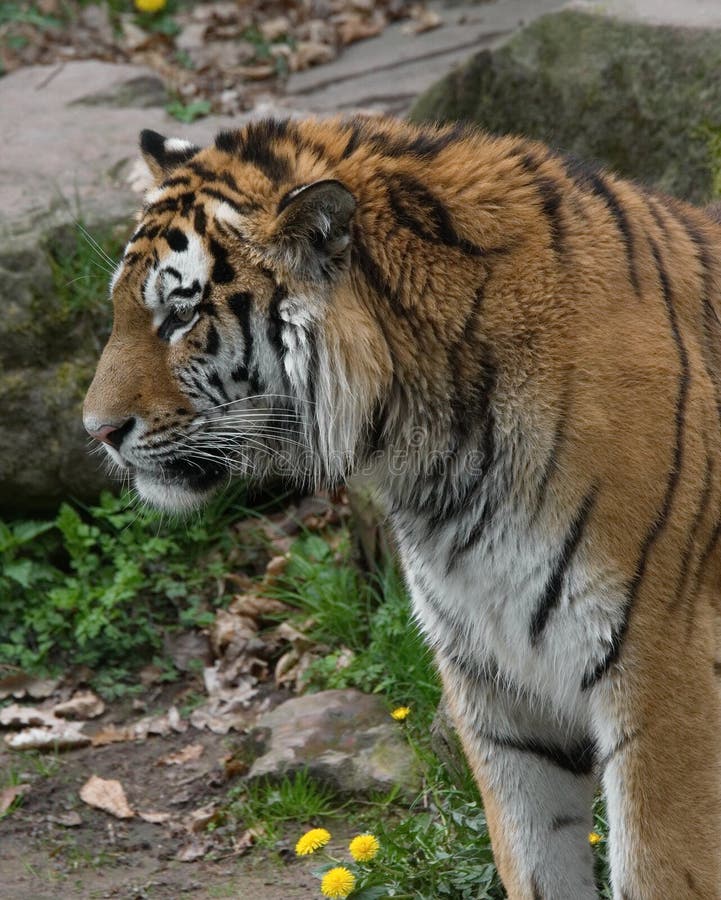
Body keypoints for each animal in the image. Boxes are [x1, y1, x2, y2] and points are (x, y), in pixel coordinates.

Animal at [83, 115, 721, 899]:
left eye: (179, 312)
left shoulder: (664, 675)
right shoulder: (497, 685)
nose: (97, 431)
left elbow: (659, 867)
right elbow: (533, 861)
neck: (432, 457)